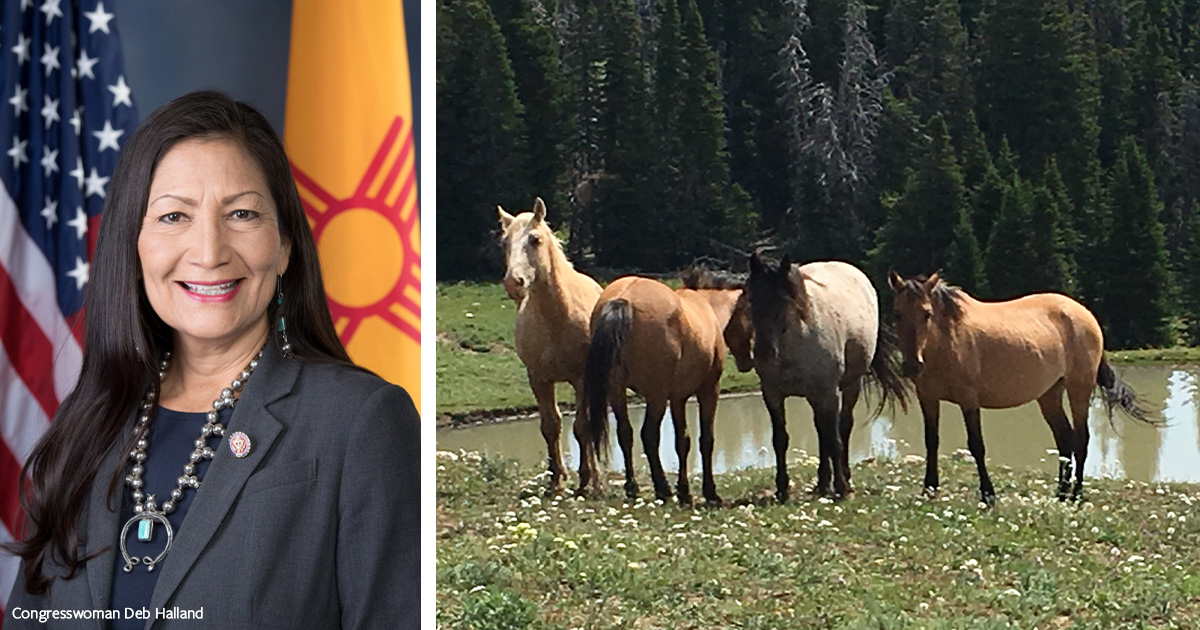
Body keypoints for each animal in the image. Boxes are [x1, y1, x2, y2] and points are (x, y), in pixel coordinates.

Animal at [498, 198, 603, 494]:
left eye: (535, 239)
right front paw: (557, 479)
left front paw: (586, 479)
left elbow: (581, 427)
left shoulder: (581, 378)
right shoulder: (539, 378)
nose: (514, 282)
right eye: (504, 242)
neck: (556, 317)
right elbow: (550, 426)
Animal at [581, 272, 754, 505]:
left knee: (625, 434)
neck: (707, 306)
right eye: (751, 314)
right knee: (648, 435)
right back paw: (662, 488)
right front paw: (709, 492)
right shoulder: (708, 391)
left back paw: (633, 487)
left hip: (617, 392)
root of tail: (623, 299)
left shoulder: (678, 398)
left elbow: (682, 441)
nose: (748, 361)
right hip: (656, 397)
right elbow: (705, 440)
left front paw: (684, 491)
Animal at [746, 252, 909, 502]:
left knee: (842, 427)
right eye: (752, 300)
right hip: (816, 396)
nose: (763, 353)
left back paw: (843, 478)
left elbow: (835, 439)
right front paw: (782, 489)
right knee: (821, 429)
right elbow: (780, 439)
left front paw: (842, 488)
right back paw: (822, 483)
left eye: (784, 300)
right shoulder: (772, 395)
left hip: (849, 386)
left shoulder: (829, 393)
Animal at [886, 271, 1159, 504]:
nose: (911, 366)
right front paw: (929, 488)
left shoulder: (969, 400)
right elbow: (931, 441)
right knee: (1065, 440)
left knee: (1081, 439)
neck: (946, 340)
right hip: (1050, 394)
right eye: (897, 313)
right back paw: (1061, 493)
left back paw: (1076, 495)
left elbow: (976, 445)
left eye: (927, 314)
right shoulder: (928, 398)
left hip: (1078, 388)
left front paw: (988, 495)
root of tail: (1085, 313)